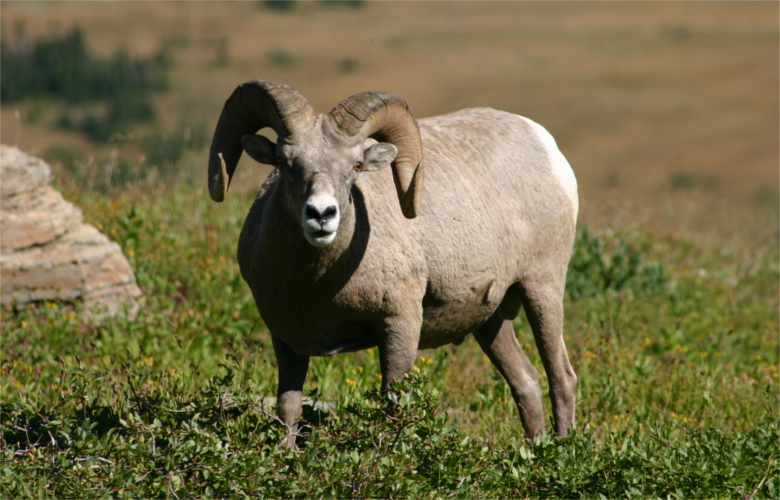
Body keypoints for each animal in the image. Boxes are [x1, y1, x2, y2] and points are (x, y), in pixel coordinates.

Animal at [208, 80, 578, 446]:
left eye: (356, 166)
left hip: (541, 290)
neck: (315, 284)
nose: (322, 215)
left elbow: (394, 406)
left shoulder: (399, 325)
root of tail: (545, 144)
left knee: (561, 377)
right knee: (526, 382)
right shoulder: (287, 340)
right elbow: (288, 410)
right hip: (490, 320)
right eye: (283, 162)